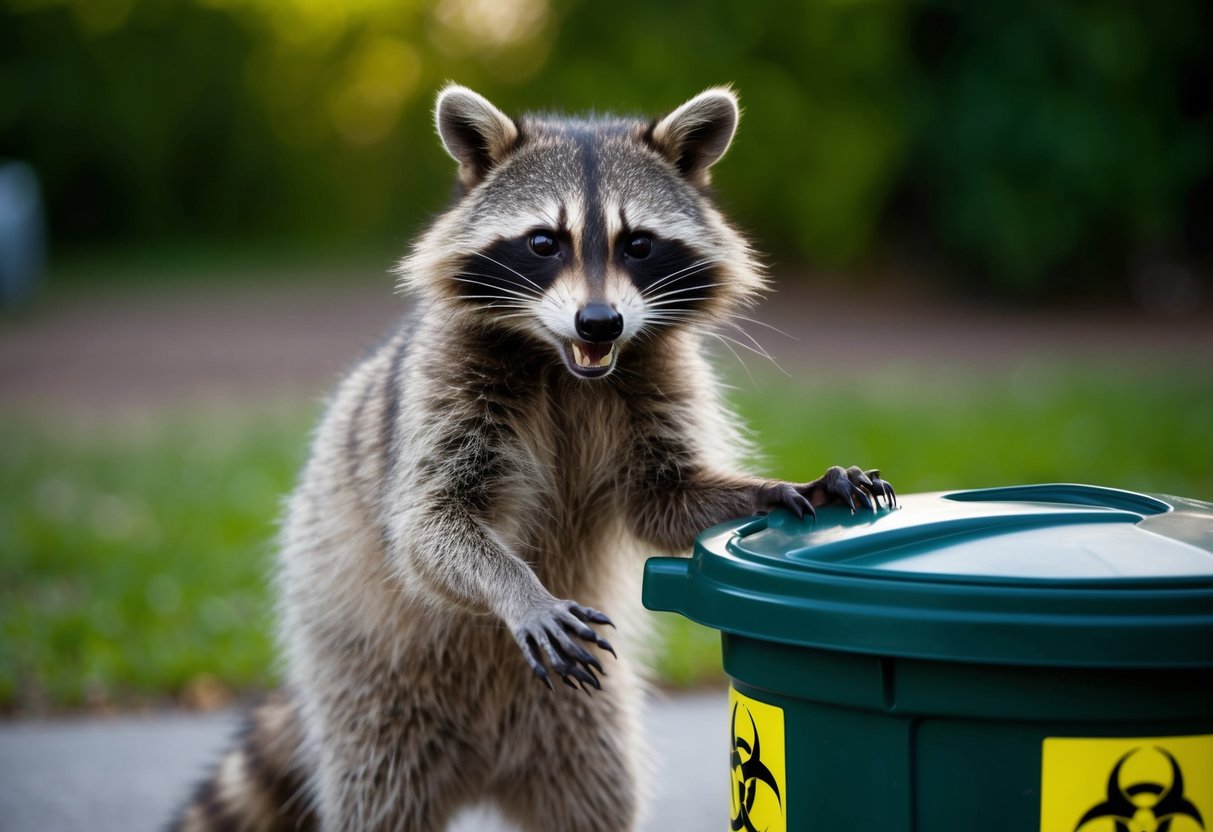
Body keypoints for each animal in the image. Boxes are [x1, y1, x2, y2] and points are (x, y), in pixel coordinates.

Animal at [170, 85, 894, 832]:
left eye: (638, 244)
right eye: (544, 242)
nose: (599, 322)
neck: (567, 368)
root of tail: (482, 767)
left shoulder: (656, 380)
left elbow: (663, 498)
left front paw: (776, 488)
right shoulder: (444, 389)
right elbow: (430, 525)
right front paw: (516, 586)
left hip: (579, 729)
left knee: (597, 798)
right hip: (365, 691)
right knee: (380, 792)